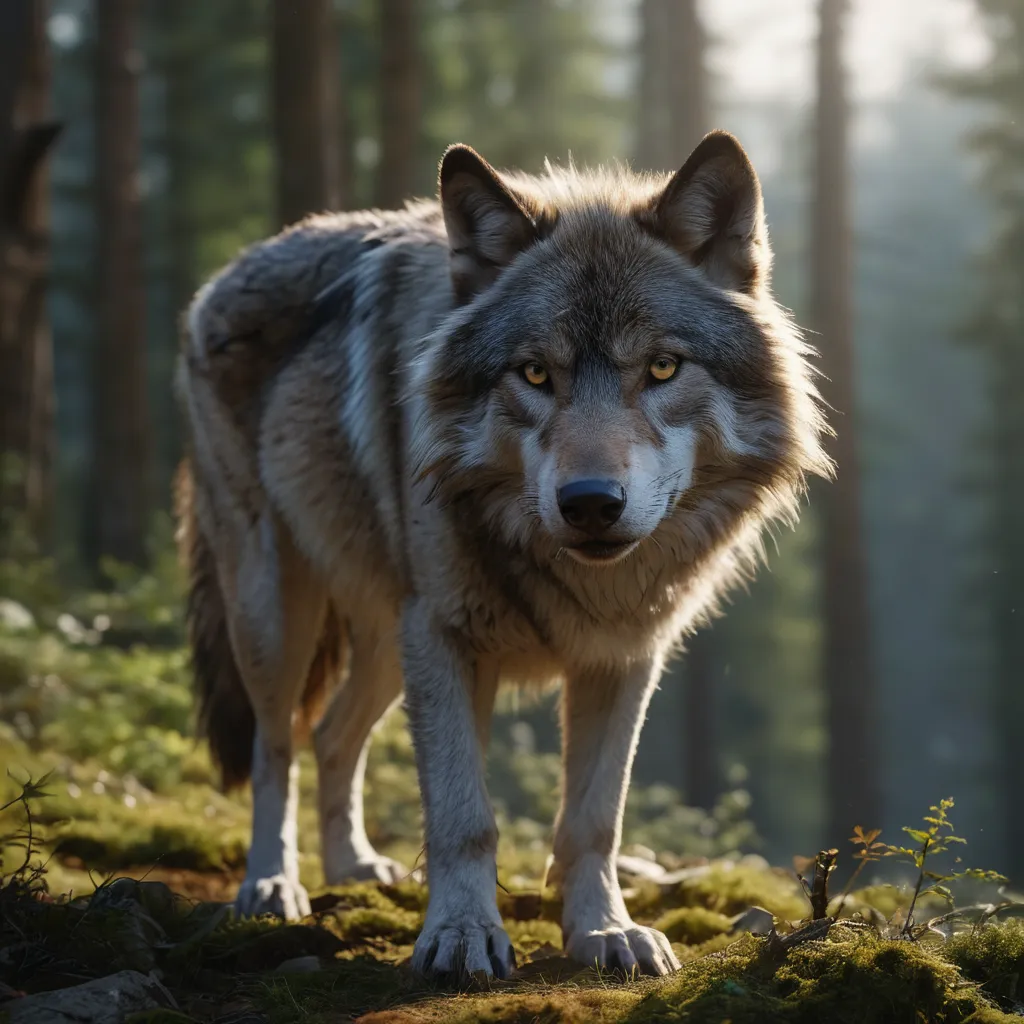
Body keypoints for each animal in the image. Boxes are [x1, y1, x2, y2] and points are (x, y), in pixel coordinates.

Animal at [175, 130, 830, 980]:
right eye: (535, 372)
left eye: (661, 367)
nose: (590, 502)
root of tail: (220, 276)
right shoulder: (444, 638)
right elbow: (464, 815)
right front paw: (459, 935)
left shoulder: (624, 654)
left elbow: (594, 819)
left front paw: (606, 932)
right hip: (276, 612)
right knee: (275, 745)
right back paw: (270, 883)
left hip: (389, 639)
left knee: (333, 734)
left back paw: (355, 867)